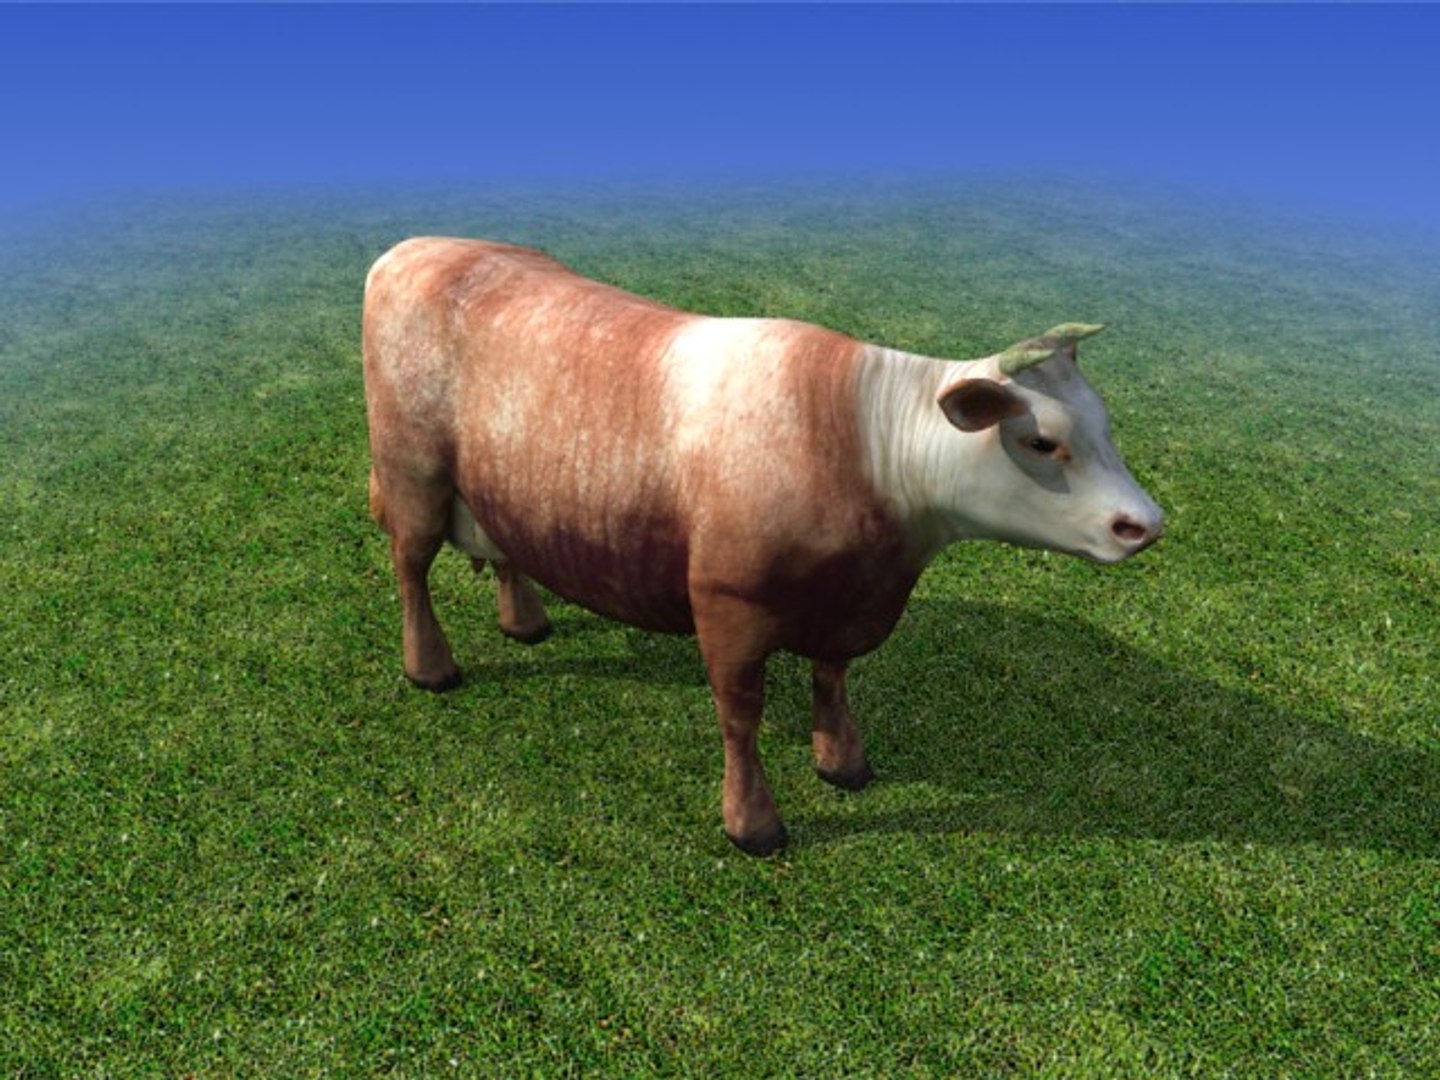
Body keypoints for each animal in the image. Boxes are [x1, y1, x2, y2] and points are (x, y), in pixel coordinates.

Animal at [362, 238, 1162, 856]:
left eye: (1106, 424)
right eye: (1040, 441)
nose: (1145, 524)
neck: (863, 445)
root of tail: (417, 247)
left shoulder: (847, 607)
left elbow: (831, 680)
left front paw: (844, 763)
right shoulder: (727, 601)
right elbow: (739, 716)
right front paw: (753, 824)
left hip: (498, 480)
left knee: (504, 551)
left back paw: (525, 623)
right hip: (413, 472)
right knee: (410, 568)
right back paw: (431, 668)